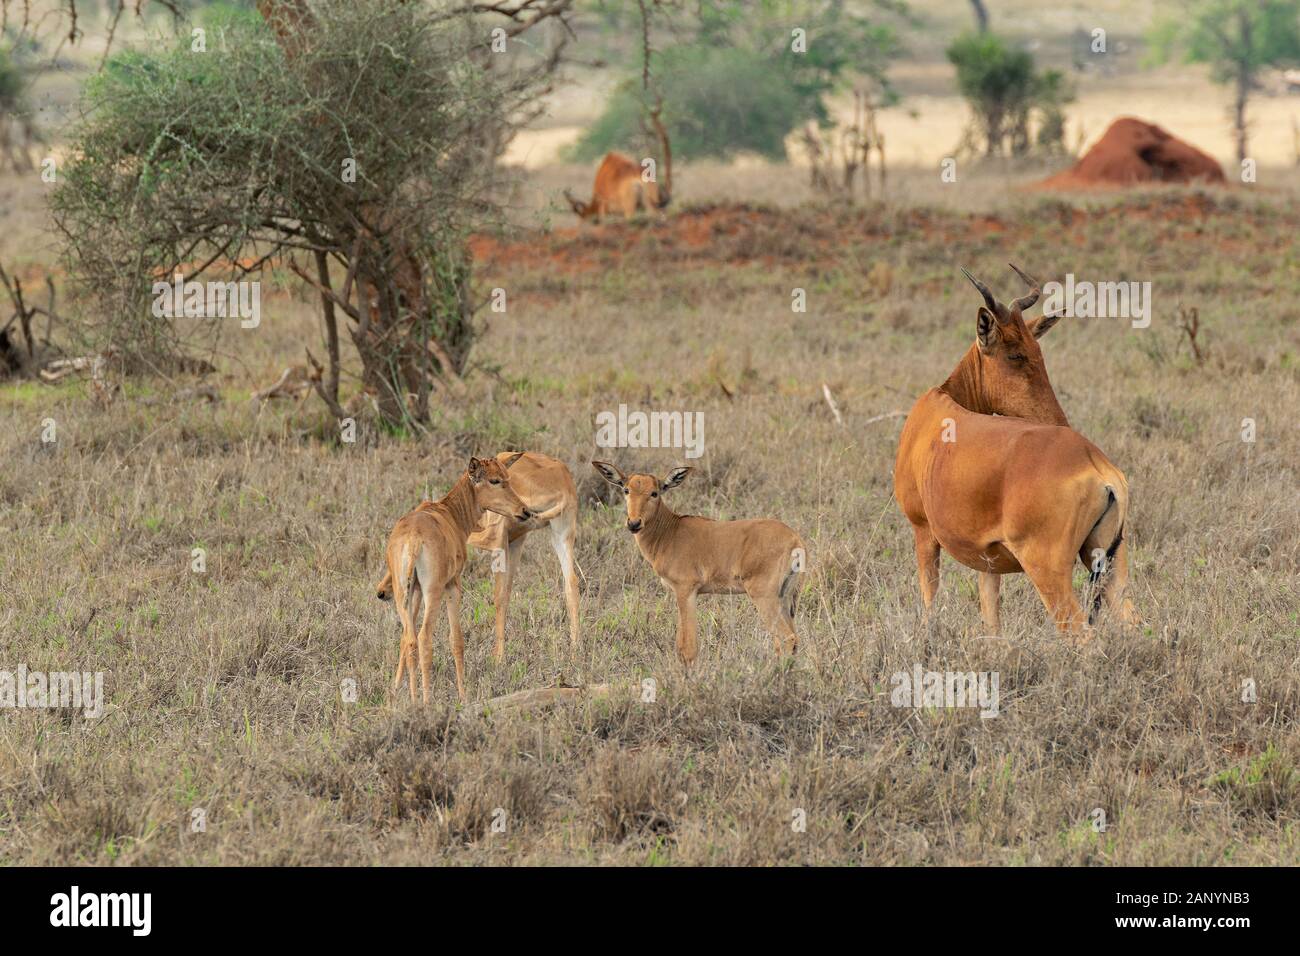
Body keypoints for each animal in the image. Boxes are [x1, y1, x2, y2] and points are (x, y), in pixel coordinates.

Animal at [377, 451, 580, 659]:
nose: (382, 592)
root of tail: (562, 483)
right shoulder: (516, 540)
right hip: (558, 536)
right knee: (570, 583)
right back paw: (575, 651)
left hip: (501, 537)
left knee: (499, 595)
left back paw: (498, 657)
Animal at [384, 454, 532, 702]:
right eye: (494, 480)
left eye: (507, 477)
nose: (525, 511)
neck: (448, 512)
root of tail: (413, 539)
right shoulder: (453, 586)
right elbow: (457, 640)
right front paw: (463, 696)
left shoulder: (415, 591)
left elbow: (406, 639)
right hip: (433, 592)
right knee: (424, 638)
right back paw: (427, 701)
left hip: (402, 593)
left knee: (410, 639)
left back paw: (413, 700)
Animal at [591, 462, 804, 664]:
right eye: (626, 489)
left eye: (654, 492)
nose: (634, 523)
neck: (671, 530)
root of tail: (795, 539)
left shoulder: (686, 591)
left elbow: (688, 648)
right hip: (784, 598)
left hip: (763, 596)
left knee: (787, 638)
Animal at [893, 264, 1137, 639]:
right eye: (1017, 353)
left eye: (1036, 351)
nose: (1059, 421)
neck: (937, 411)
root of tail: (1098, 468)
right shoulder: (988, 559)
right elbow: (992, 619)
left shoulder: (922, 530)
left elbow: (929, 600)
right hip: (1112, 562)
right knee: (1133, 620)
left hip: (1047, 568)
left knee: (1079, 630)